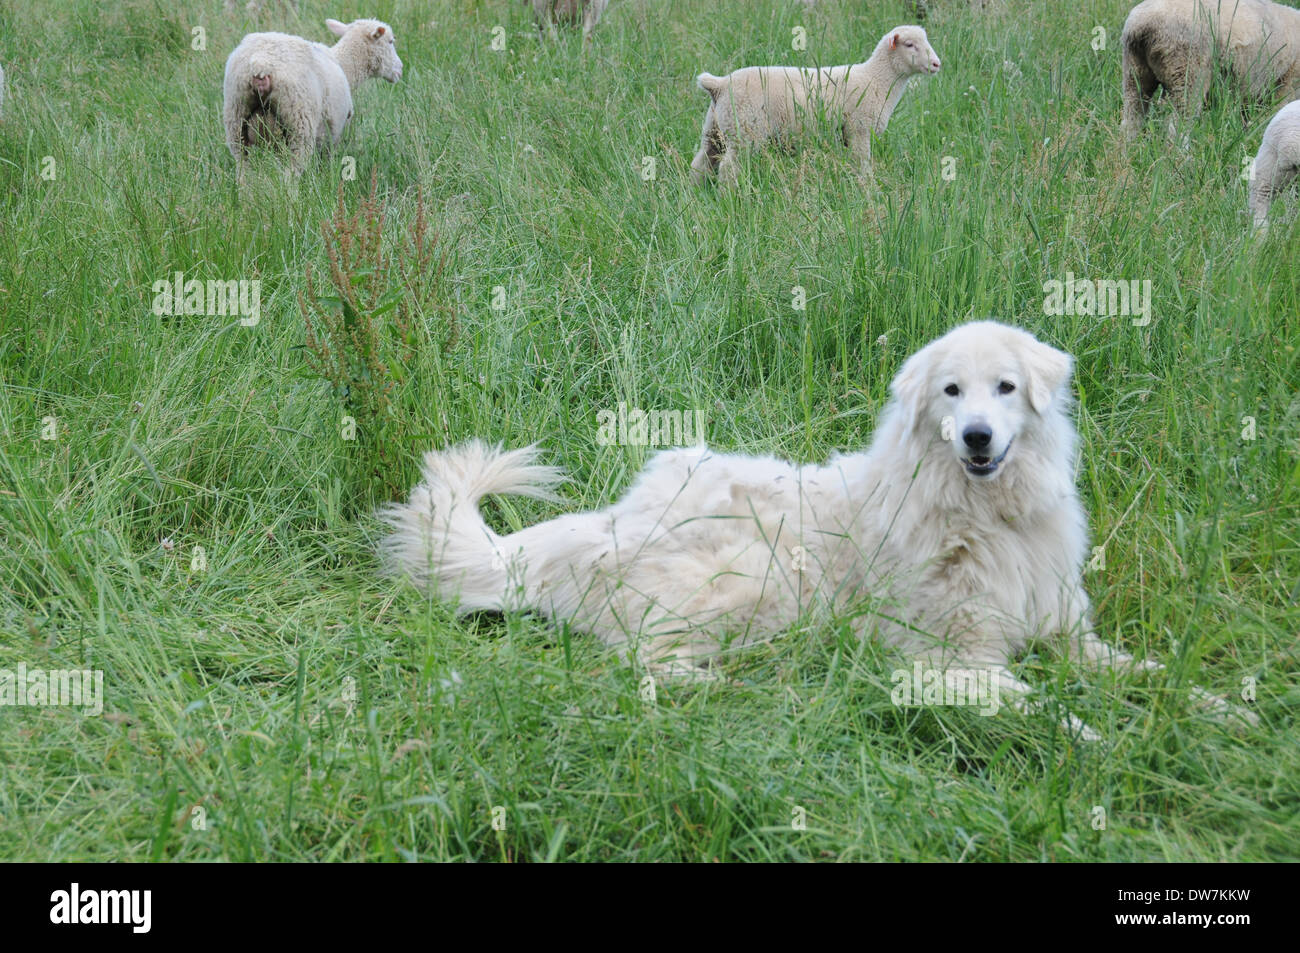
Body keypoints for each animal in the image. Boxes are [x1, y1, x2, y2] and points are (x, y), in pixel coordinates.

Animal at [222, 18, 402, 182]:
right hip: (299, 122)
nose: (399, 69)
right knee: (290, 174)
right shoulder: (334, 132)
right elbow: (325, 163)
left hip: (236, 120)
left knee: (244, 173)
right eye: (390, 41)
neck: (344, 65)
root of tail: (260, 64)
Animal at [690, 25, 941, 187]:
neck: (877, 78)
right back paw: (731, 197)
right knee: (728, 168)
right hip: (744, 131)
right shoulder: (859, 129)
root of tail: (720, 84)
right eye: (910, 44)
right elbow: (863, 165)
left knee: (701, 164)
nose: (937, 64)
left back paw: (697, 195)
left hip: (715, 130)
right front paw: (868, 189)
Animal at [1121, 0, 1300, 141]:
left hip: (1135, 71)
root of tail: (1143, 26)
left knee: (1131, 120)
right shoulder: (1287, 83)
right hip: (1188, 71)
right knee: (1177, 126)